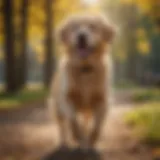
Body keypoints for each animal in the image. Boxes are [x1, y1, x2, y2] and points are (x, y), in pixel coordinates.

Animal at [48, 14, 115, 149]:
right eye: (74, 28)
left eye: (92, 27)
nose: (81, 36)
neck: (85, 69)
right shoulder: (67, 99)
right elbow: (73, 121)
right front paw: (78, 138)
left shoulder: (102, 100)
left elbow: (97, 125)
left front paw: (92, 141)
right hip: (57, 108)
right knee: (62, 126)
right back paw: (64, 142)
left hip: (87, 111)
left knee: (86, 122)